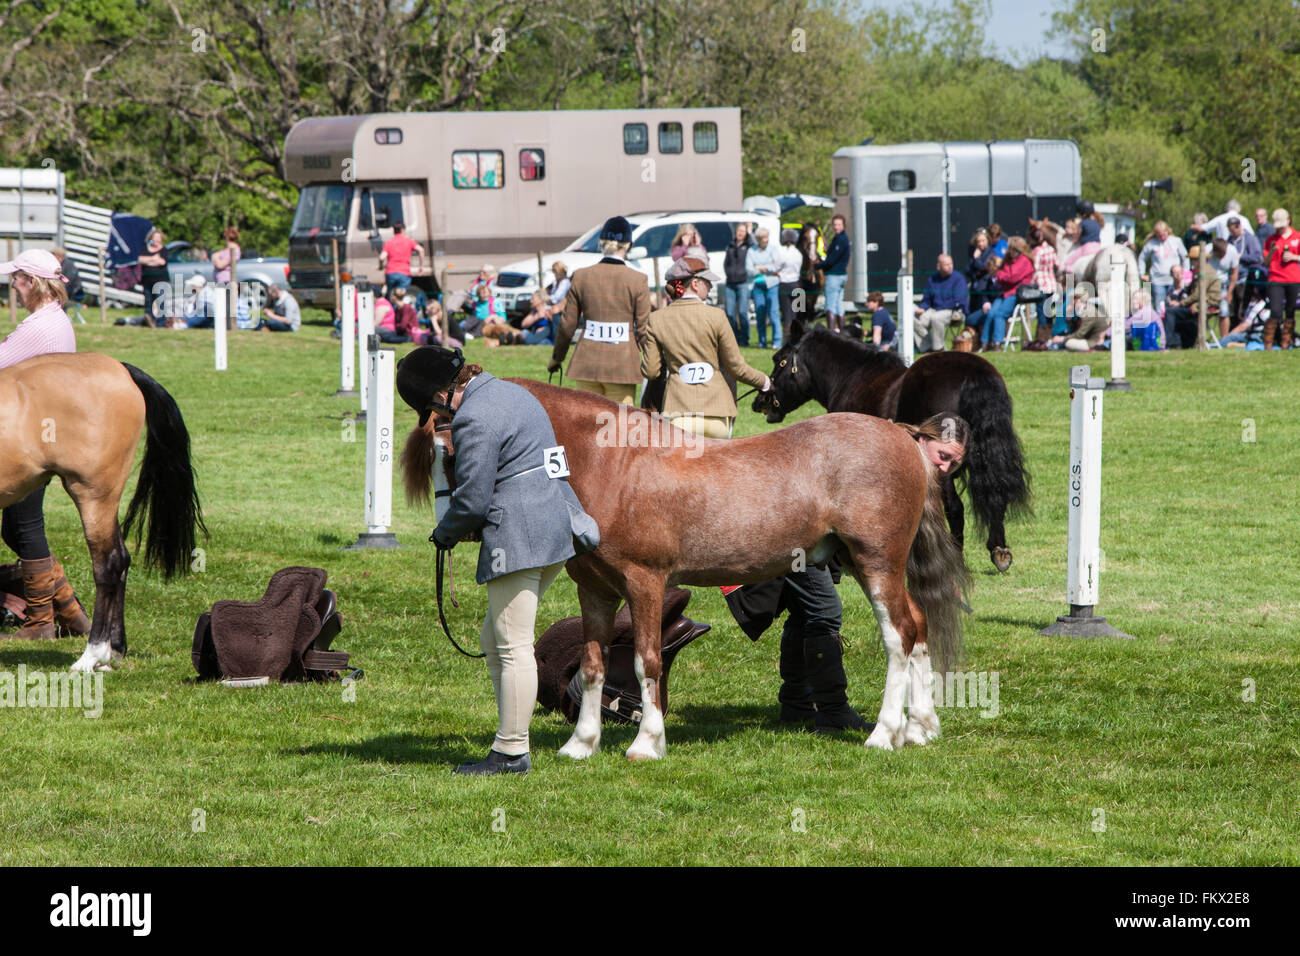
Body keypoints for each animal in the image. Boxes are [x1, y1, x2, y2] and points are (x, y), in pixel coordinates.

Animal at [0, 353, 204, 672]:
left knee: (109, 564)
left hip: (93, 495)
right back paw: (114, 650)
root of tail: (120, 369)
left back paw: (92, 655)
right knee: (121, 561)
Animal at [402, 378, 970, 758]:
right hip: (862, 562)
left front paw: (646, 743)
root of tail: (903, 436)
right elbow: (593, 664)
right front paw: (581, 744)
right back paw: (920, 728)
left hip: (876, 563)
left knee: (898, 636)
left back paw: (883, 734)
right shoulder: (596, 590)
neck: (614, 465)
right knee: (919, 627)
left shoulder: (645, 583)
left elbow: (646, 661)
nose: (447, 530)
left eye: (453, 448)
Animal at [752, 324, 1030, 572]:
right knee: (995, 494)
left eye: (780, 360)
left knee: (955, 508)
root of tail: (973, 375)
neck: (850, 376)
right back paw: (999, 549)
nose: (760, 401)